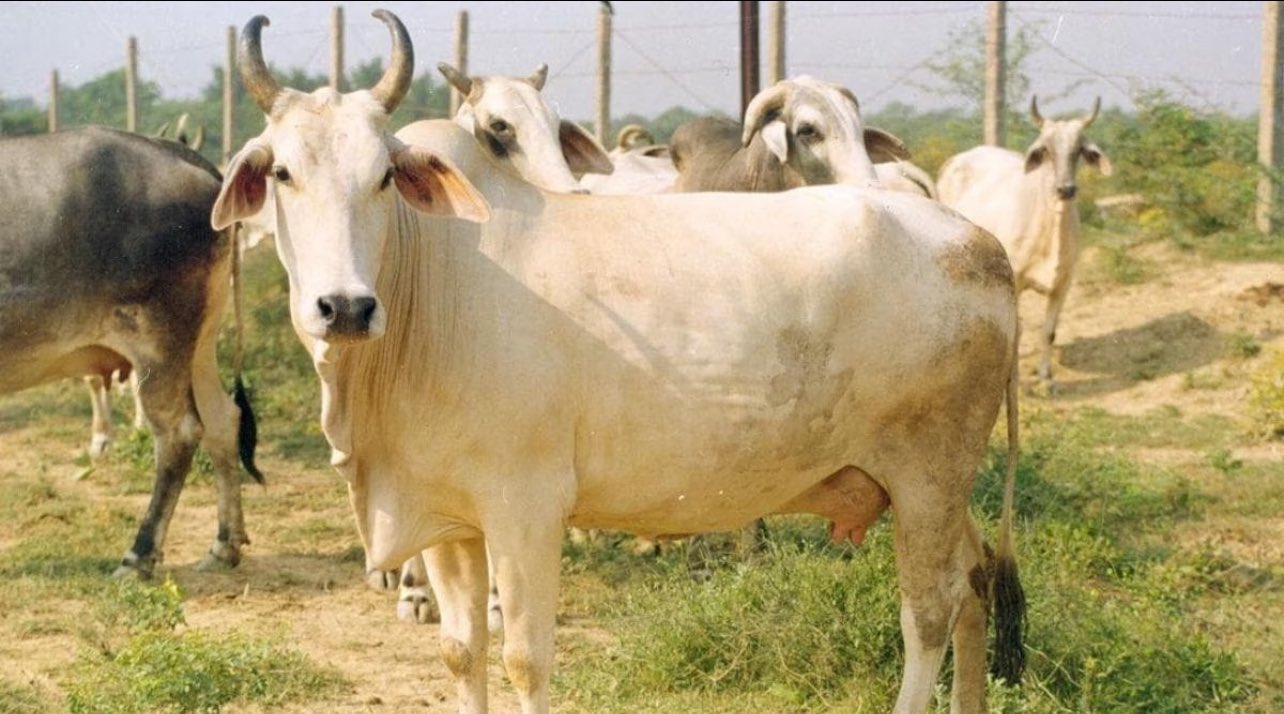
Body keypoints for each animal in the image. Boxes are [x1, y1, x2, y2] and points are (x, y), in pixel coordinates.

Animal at [0, 126, 260, 578]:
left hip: (158, 346)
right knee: (223, 420)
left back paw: (139, 557)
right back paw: (224, 546)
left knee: (178, 434)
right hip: (198, 345)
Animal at [212, 10, 1024, 713]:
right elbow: (460, 652)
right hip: (940, 487)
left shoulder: (526, 509)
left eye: (384, 175)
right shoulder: (448, 522)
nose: (345, 308)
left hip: (926, 476)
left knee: (929, 611)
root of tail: (978, 241)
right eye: (282, 173)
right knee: (976, 580)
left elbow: (523, 659)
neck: (429, 281)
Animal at [937, 97, 1112, 391]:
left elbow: (1049, 332)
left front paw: (1046, 378)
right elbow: (1017, 332)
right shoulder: (1015, 282)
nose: (1065, 189)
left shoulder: (1063, 284)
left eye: (1078, 151)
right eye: (1047, 150)